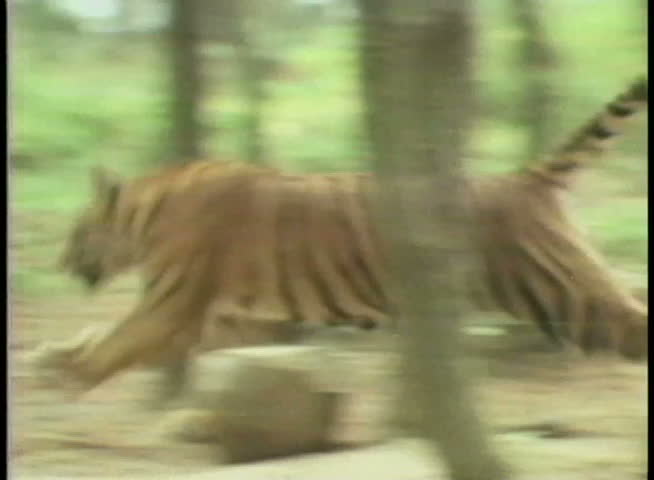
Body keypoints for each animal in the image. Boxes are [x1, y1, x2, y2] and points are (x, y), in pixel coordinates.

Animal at [30, 76, 648, 404]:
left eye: (77, 232)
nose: (59, 261)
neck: (147, 211)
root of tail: (524, 177)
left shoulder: (172, 305)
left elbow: (121, 341)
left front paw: (68, 376)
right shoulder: (230, 317)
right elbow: (112, 337)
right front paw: (55, 354)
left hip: (569, 299)